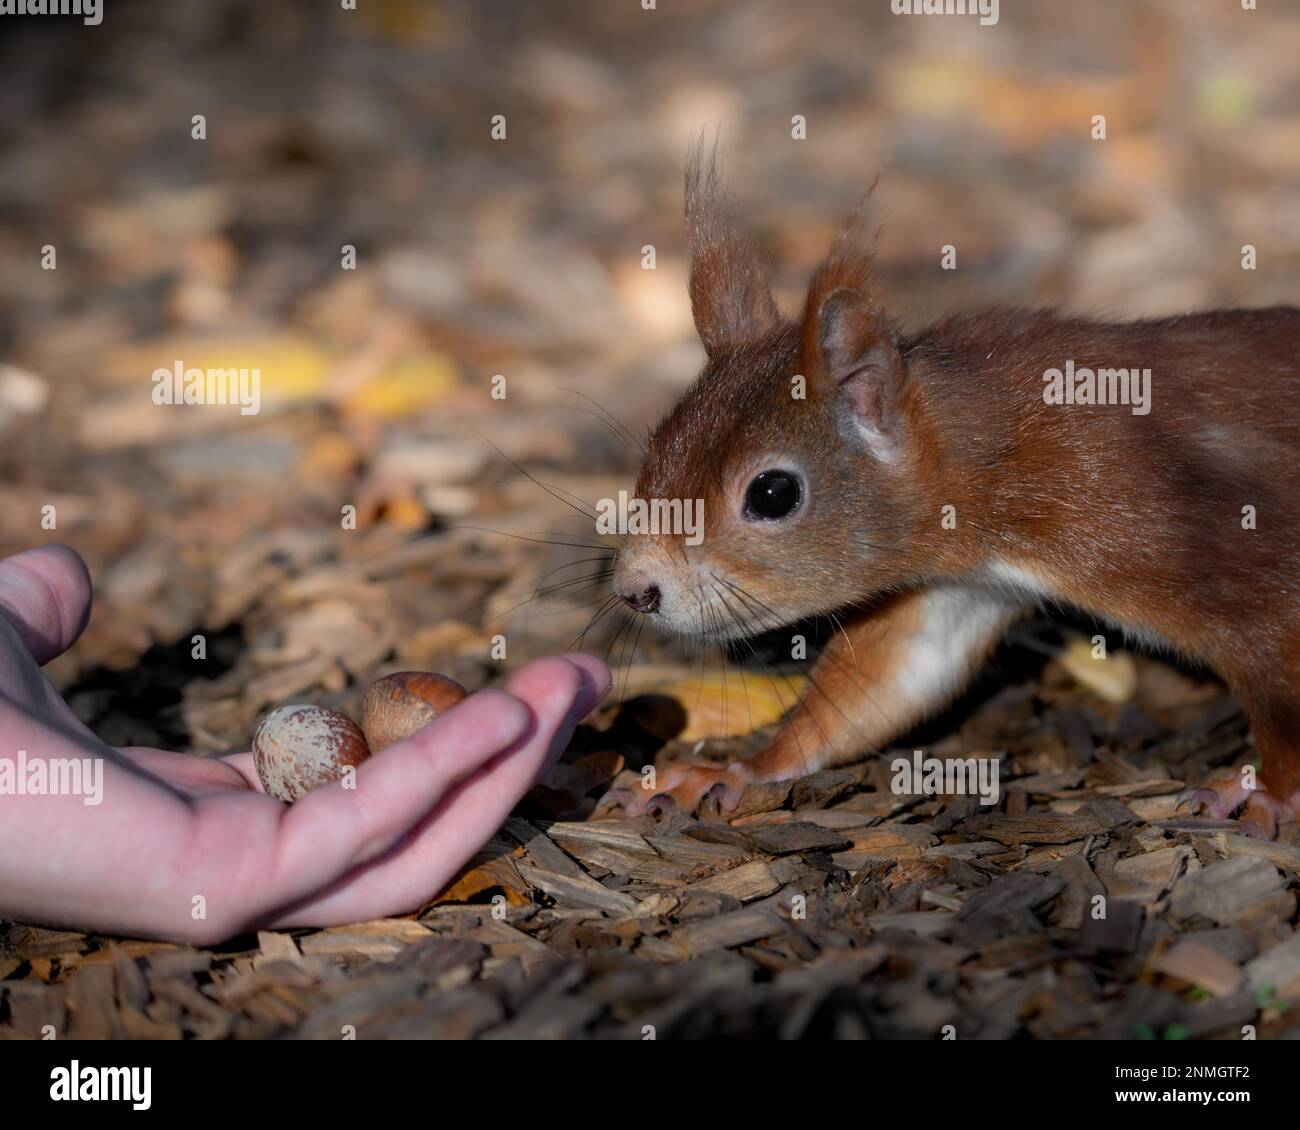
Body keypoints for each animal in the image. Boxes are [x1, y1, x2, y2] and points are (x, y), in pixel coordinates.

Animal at [601, 143, 1300, 838]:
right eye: (654, 451)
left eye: (772, 494)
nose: (635, 592)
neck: (984, 455)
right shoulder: (957, 587)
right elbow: (883, 683)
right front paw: (731, 771)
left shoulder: (1163, 520)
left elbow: (1278, 663)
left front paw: (1270, 793)